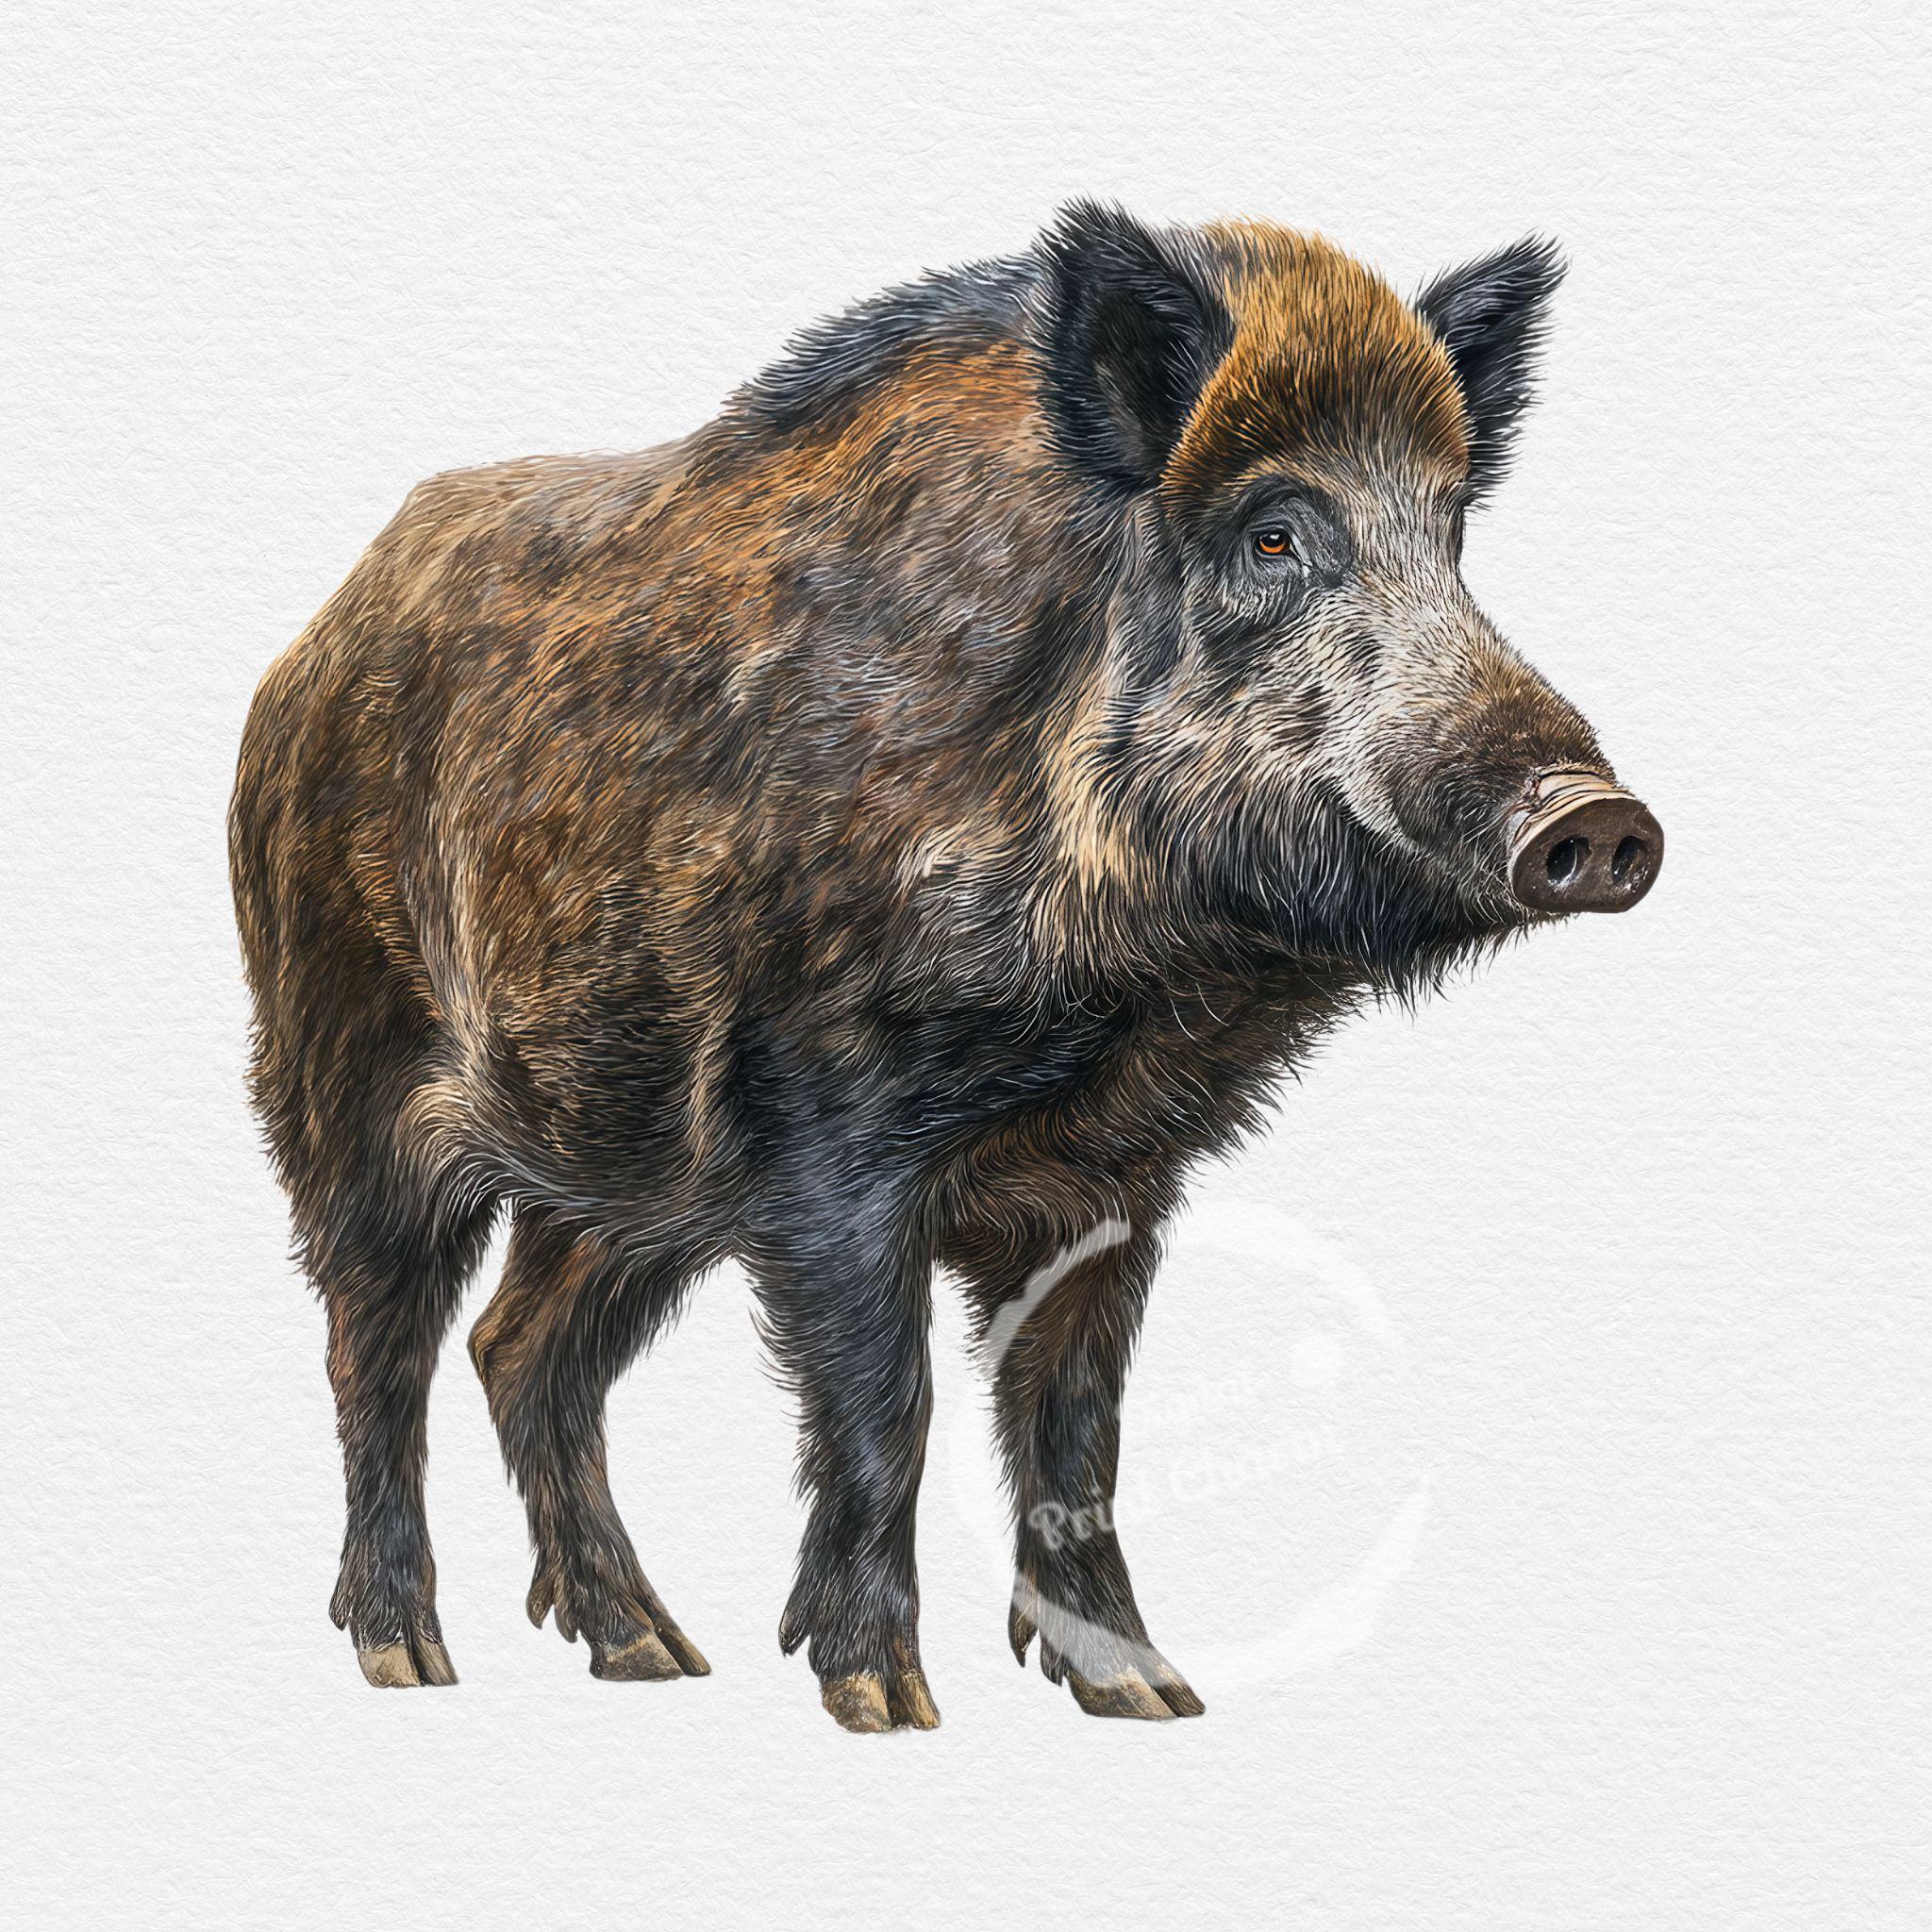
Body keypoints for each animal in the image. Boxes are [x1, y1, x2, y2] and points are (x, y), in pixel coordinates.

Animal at [229, 203, 1663, 1732]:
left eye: (1451, 532)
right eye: (1273, 532)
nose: (1596, 818)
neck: (1136, 992)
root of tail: (302, 656)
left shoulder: (1117, 1171)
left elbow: (1078, 1428)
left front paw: (1149, 1697)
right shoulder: (828, 1137)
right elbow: (886, 1412)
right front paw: (885, 1703)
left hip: (626, 1166)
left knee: (521, 1348)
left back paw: (654, 1653)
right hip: (343, 1069)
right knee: (375, 1345)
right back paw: (409, 1658)